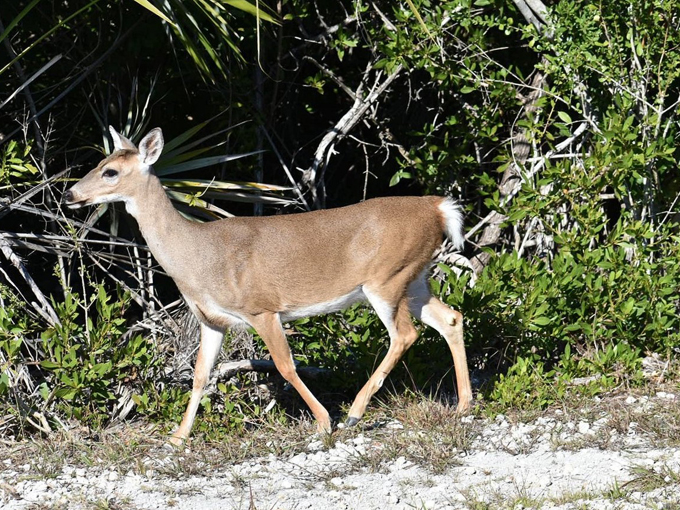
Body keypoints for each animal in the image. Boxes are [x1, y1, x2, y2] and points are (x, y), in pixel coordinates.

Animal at [63, 126, 473, 445]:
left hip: (386, 278)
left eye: (110, 171)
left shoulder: (261, 307)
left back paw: (354, 413)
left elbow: (285, 366)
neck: (197, 257)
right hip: (414, 278)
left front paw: (323, 422)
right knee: (451, 318)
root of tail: (438, 209)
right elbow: (199, 375)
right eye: (99, 162)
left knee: (405, 334)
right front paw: (178, 437)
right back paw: (464, 404)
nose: (70, 194)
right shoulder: (212, 320)